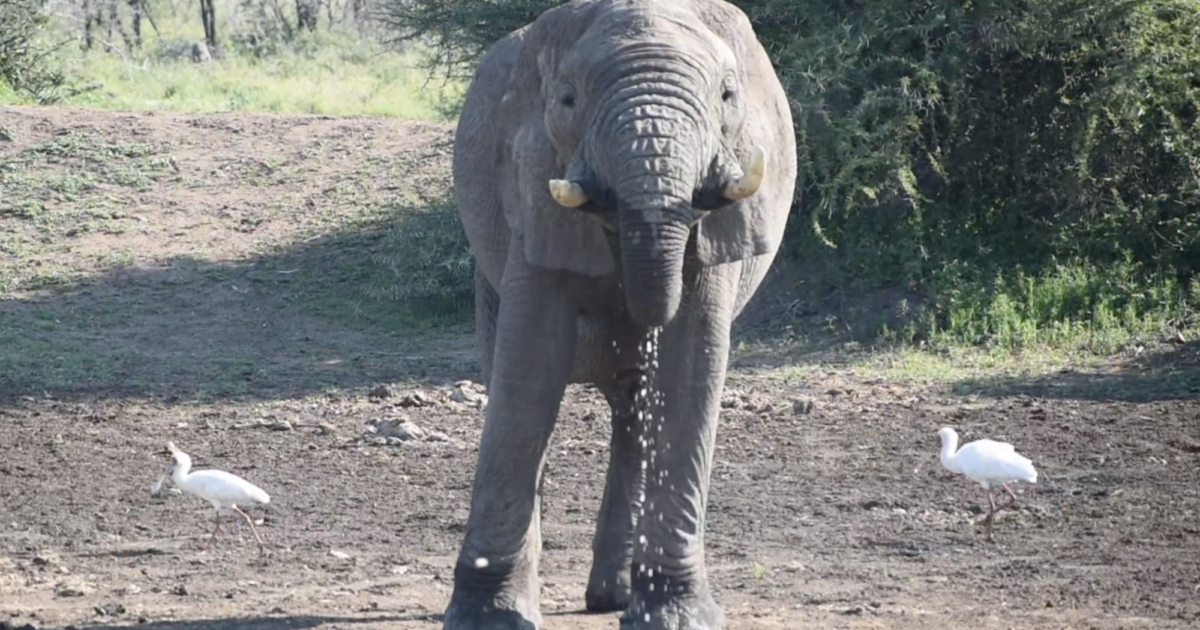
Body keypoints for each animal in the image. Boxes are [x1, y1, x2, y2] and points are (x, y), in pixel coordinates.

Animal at [445, 0, 797, 628]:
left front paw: (677, 616)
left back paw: (616, 597)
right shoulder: (532, 183)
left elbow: (690, 364)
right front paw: (487, 618)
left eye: (728, 96)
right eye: (567, 100)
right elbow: (530, 366)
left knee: (637, 415)